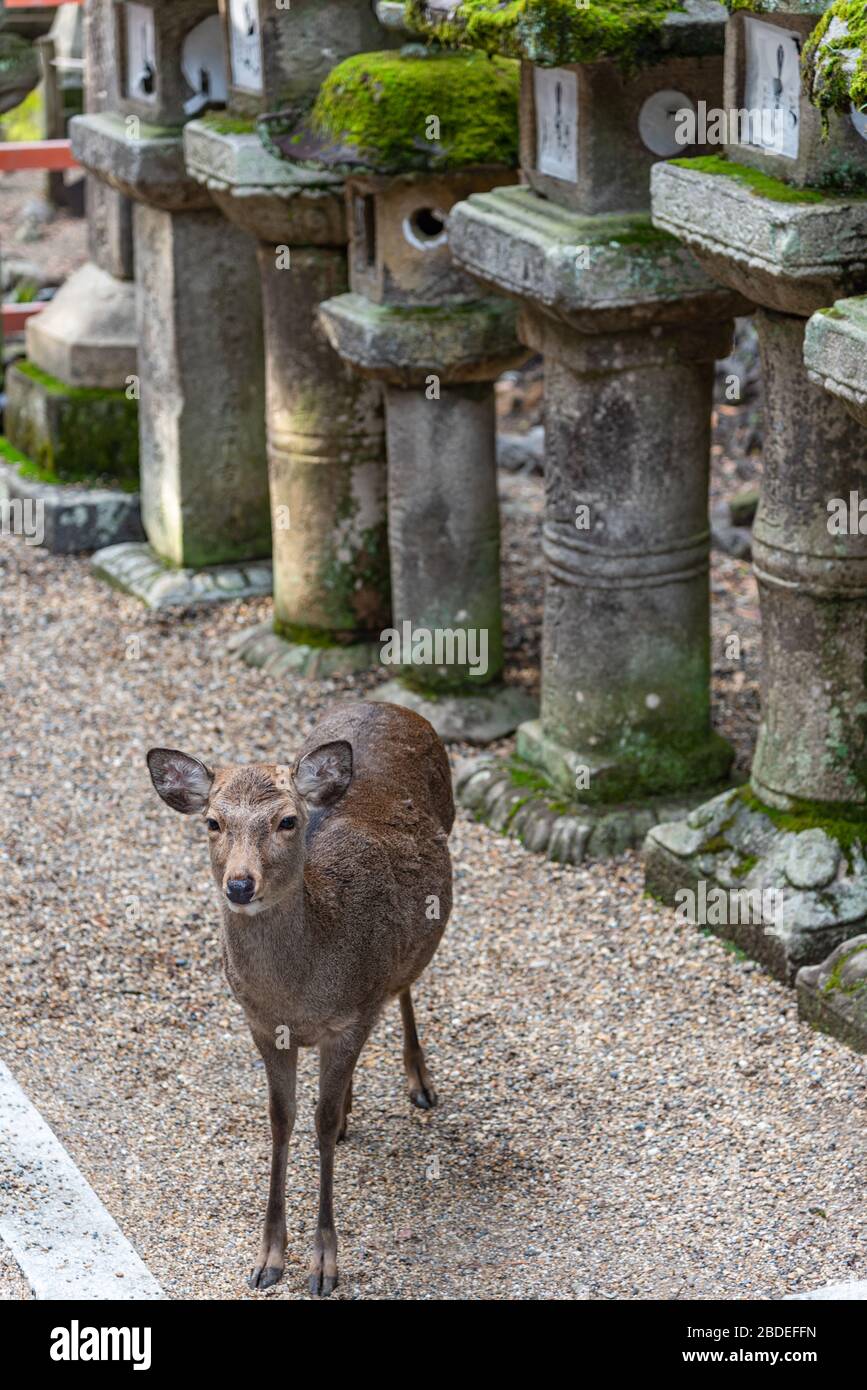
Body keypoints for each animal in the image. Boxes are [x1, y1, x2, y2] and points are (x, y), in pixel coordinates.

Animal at [146, 701, 454, 1297]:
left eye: (287, 821)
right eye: (212, 822)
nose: (240, 885)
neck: (300, 994)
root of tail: (393, 705)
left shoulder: (349, 1020)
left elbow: (322, 1122)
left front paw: (324, 1264)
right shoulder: (261, 1025)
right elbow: (282, 1119)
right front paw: (268, 1257)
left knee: (404, 984)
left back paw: (419, 1081)